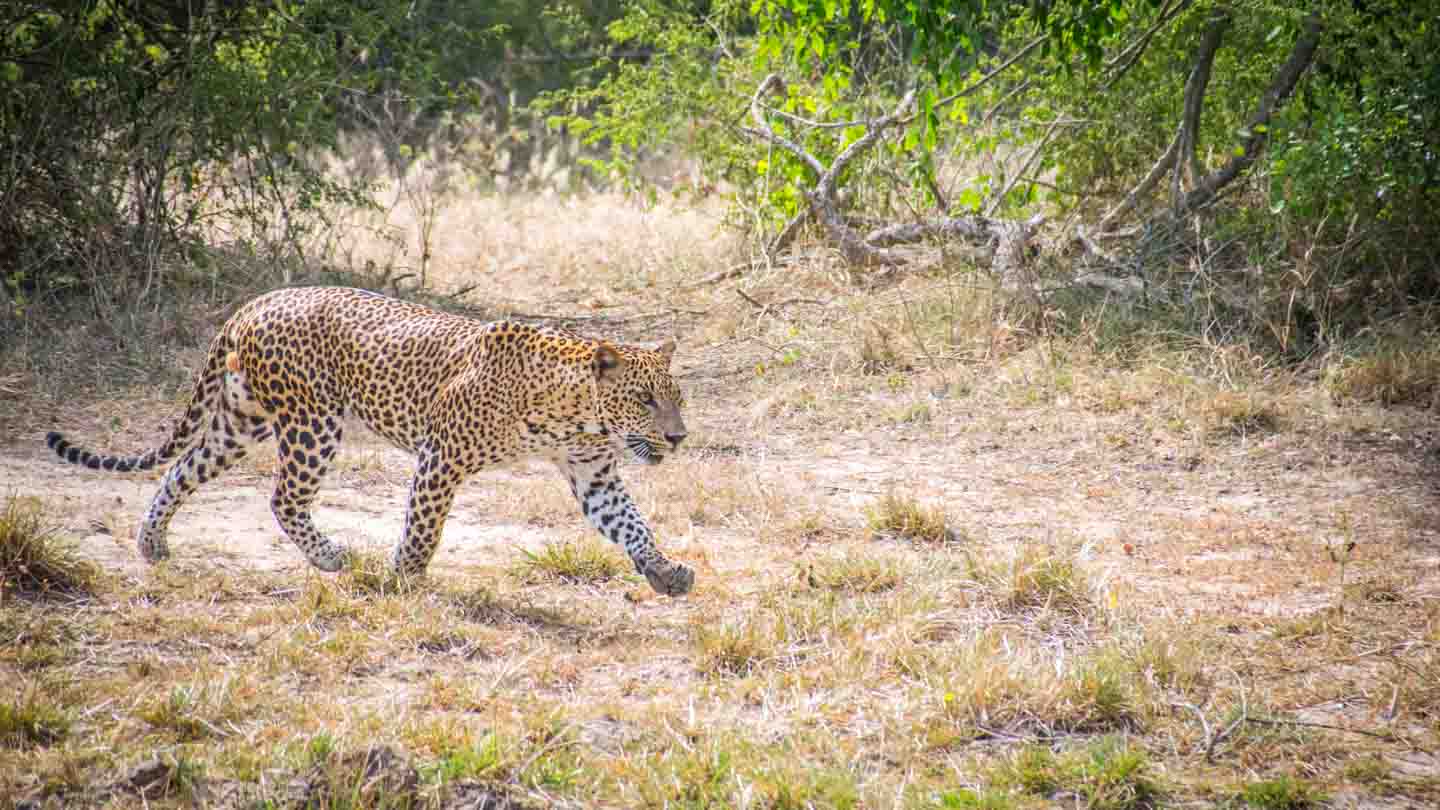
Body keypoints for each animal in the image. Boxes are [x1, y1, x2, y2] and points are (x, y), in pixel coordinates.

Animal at [45, 286, 694, 596]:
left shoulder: (595, 476)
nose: (679, 437)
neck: (575, 414)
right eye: (645, 399)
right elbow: (424, 529)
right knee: (283, 497)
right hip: (312, 422)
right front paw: (400, 578)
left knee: (181, 468)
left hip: (240, 421)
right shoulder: (442, 456)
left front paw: (664, 572)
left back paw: (151, 543)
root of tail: (256, 301)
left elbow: (633, 525)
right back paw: (331, 556)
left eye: (678, 398)